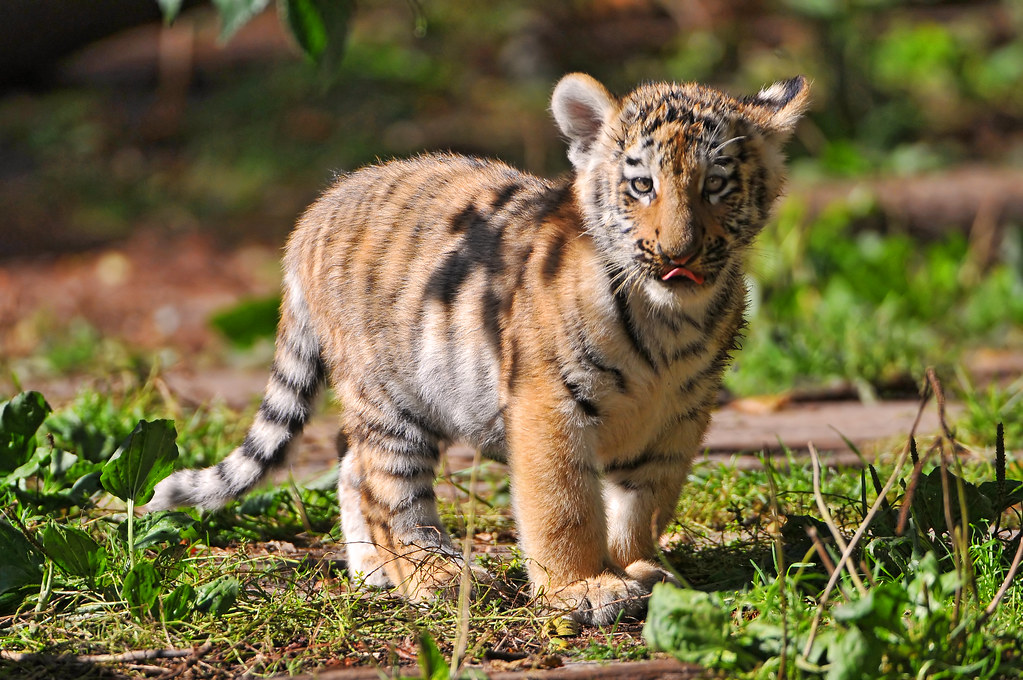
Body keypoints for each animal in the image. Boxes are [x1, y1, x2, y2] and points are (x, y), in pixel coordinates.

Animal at [148, 73, 809, 625]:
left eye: (716, 185)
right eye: (641, 185)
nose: (679, 254)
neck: (671, 319)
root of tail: (314, 211)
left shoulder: (680, 415)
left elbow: (646, 501)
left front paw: (642, 567)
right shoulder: (550, 402)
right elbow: (563, 504)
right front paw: (583, 588)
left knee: (350, 465)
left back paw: (373, 572)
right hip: (391, 398)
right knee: (389, 489)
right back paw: (432, 576)